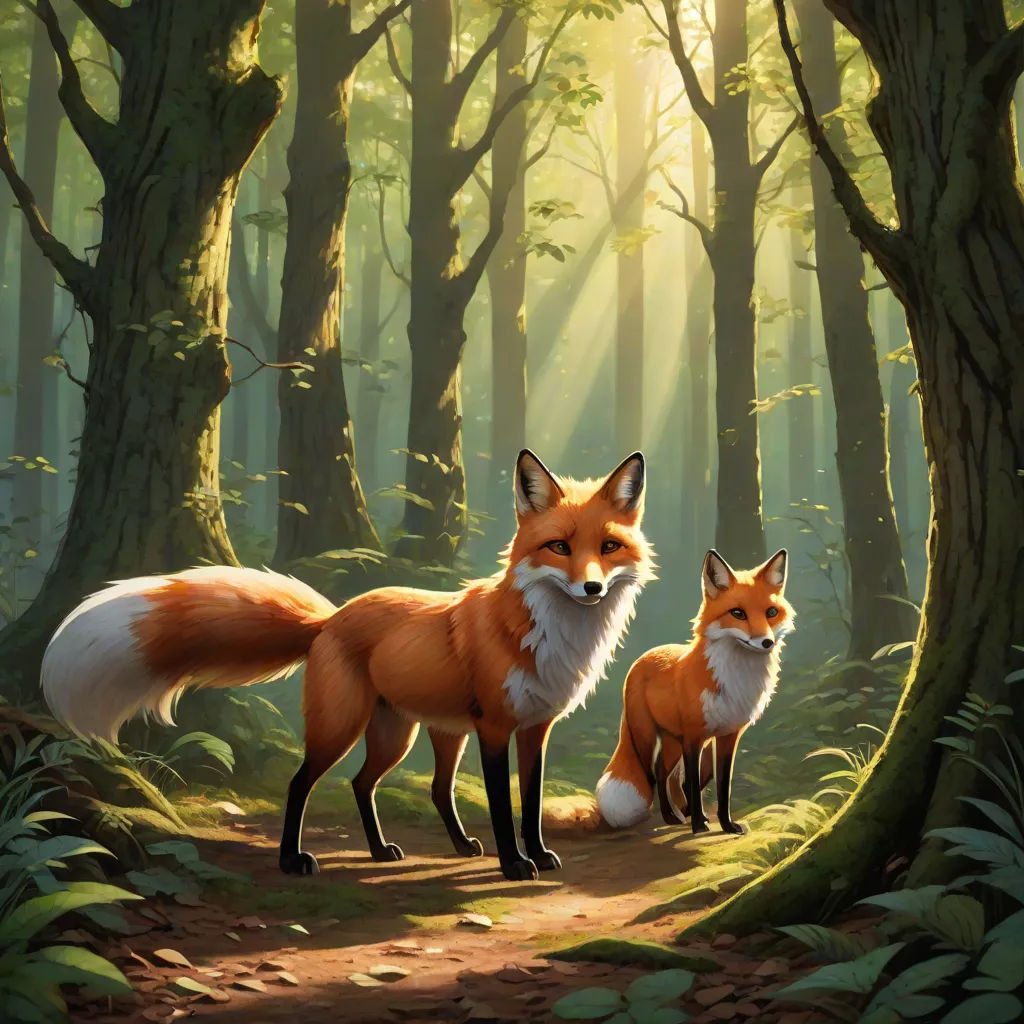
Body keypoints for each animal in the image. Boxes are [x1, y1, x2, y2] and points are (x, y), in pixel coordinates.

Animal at [41, 449, 654, 882]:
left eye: (607, 546)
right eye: (558, 547)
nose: (592, 588)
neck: (547, 634)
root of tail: (333, 617)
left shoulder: (534, 728)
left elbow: (529, 804)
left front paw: (538, 855)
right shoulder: (496, 728)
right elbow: (505, 810)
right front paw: (512, 866)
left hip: (411, 733)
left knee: (397, 786)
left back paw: (403, 849)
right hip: (347, 726)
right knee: (302, 783)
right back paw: (293, 861)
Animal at [595, 548, 793, 836]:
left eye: (771, 612)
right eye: (738, 613)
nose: (766, 642)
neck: (734, 678)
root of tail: (645, 655)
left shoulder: (727, 737)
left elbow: (722, 786)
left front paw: (726, 824)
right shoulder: (693, 737)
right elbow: (690, 781)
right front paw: (699, 825)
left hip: (672, 742)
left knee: (664, 771)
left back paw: (677, 815)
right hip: (647, 737)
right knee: (653, 774)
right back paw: (670, 817)